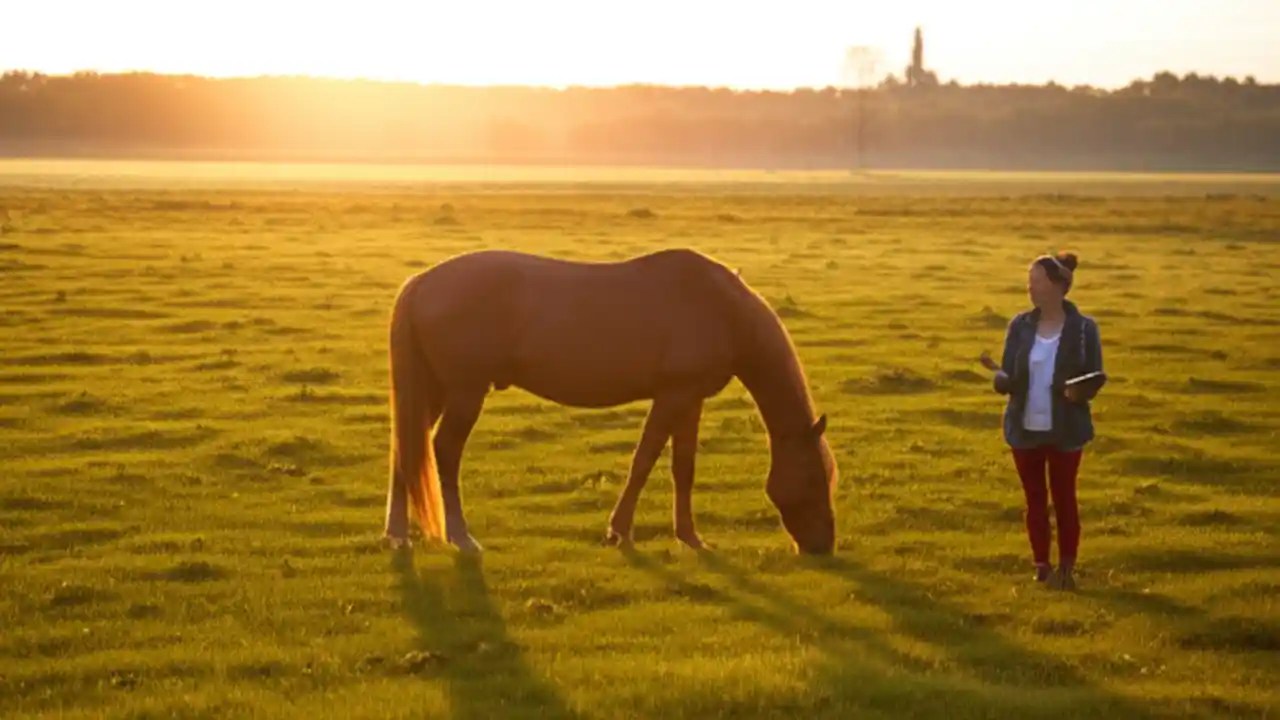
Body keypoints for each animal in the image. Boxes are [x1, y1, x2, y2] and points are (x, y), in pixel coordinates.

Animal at [384, 248, 838, 554]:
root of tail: (421, 282)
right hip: (464, 394)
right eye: (814, 479)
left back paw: (397, 534)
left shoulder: (690, 399)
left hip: (433, 391)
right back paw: (461, 537)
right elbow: (644, 461)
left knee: (408, 449)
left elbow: (683, 468)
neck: (723, 309)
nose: (822, 546)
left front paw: (690, 536)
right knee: (443, 454)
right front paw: (620, 530)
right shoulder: (673, 396)